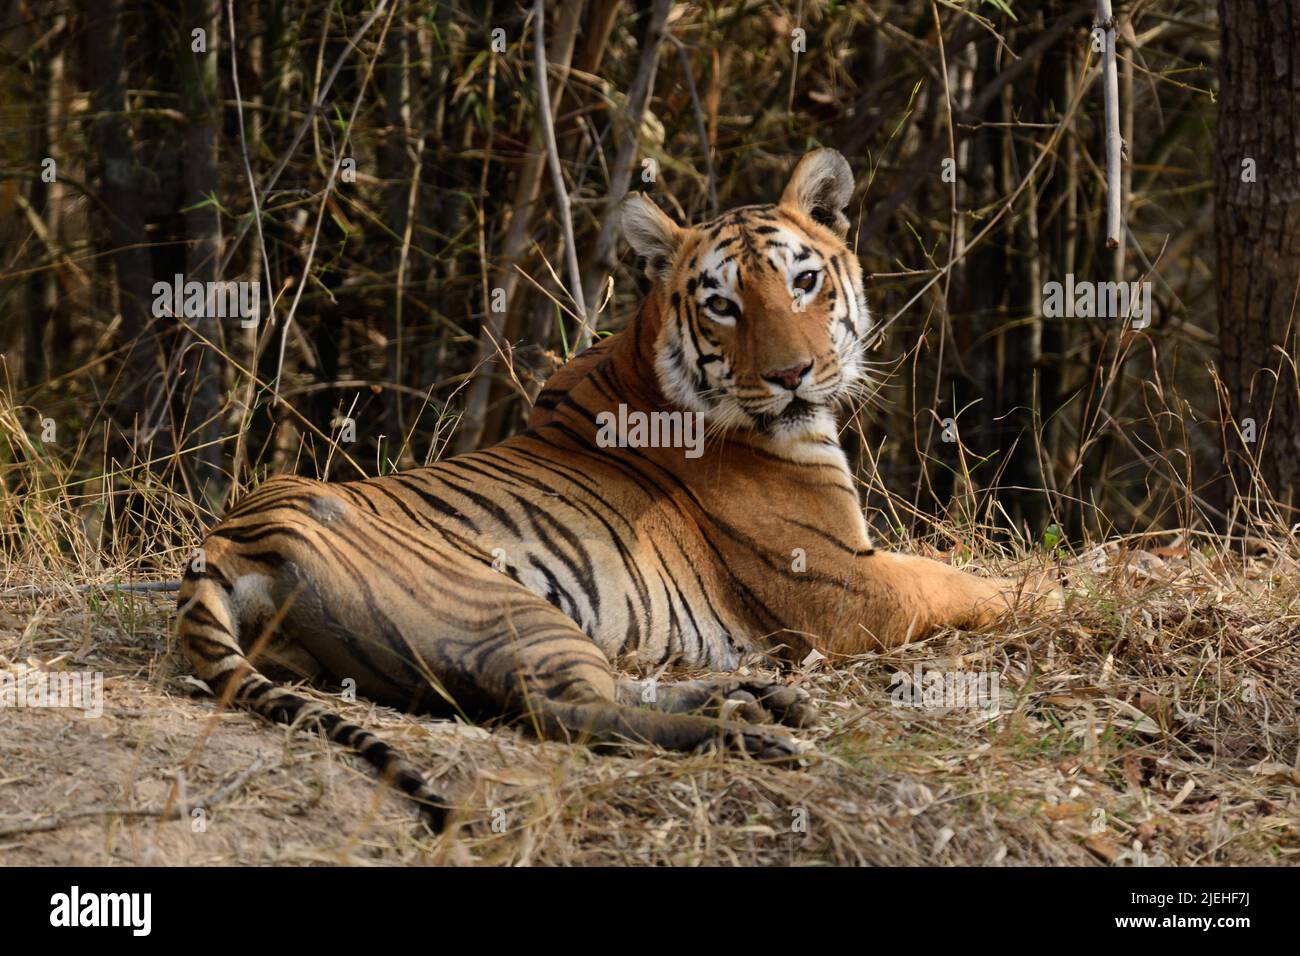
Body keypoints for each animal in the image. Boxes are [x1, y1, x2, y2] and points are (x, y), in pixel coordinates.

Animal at [176, 148, 1056, 830]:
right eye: (723, 304)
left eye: (804, 282)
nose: (793, 374)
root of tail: (230, 540)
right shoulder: (846, 587)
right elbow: (975, 585)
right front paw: (1071, 588)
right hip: (502, 606)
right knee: (566, 713)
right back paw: (754, 734)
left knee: (614, 686)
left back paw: (757, 700)